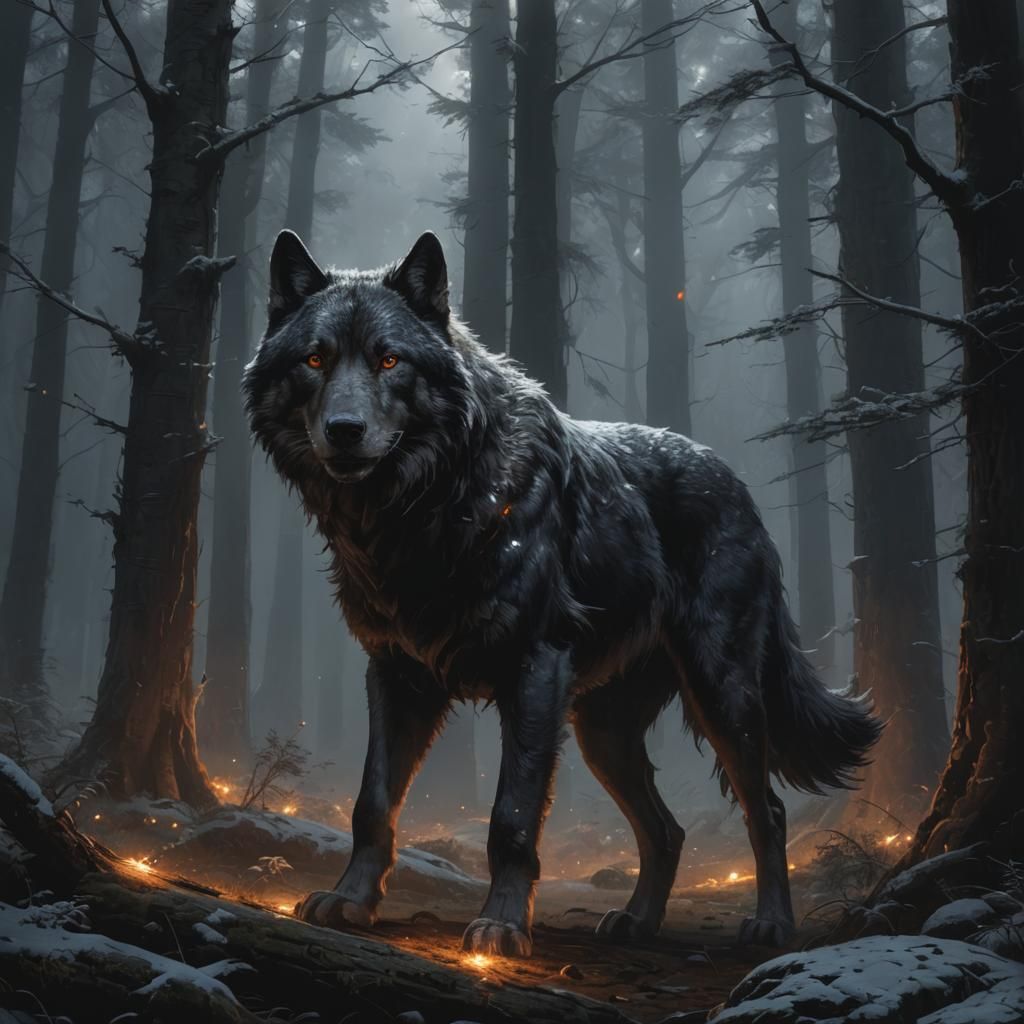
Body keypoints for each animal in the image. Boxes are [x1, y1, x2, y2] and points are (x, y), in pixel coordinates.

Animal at [243, 229, 881, 957]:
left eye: (388, 359)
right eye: (315, 358)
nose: (344, 430)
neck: (426, 509)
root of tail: (735, 482)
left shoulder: (534, 671)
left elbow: (512, 816)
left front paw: (500, 925)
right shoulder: (396, 675)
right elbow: (372, 802)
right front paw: (350, 902)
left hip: (722, 697)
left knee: (766, 809)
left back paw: (772, 924)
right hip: (602, 731)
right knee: (666, 830)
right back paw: (635, 921)